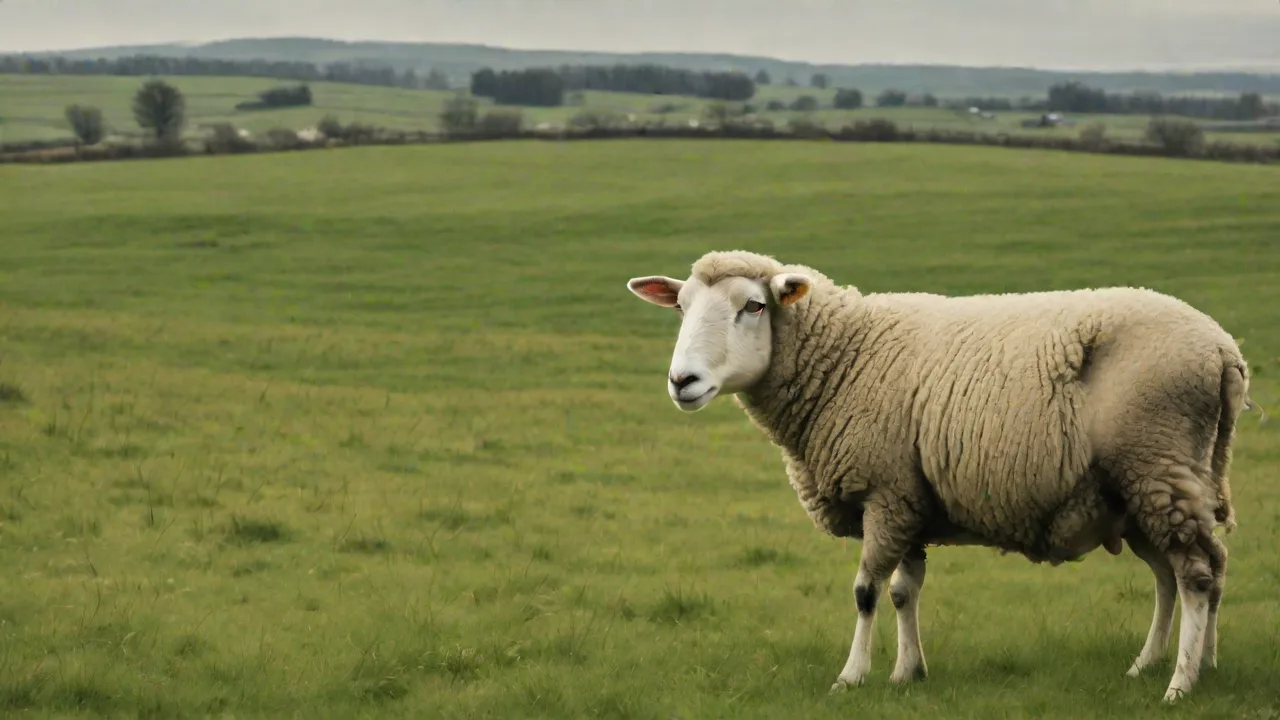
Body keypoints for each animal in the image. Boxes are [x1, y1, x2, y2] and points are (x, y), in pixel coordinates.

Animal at [626, 249, 1251, 704]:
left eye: (753, 306)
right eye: (680, 307)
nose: (682, 381)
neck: (846, 357)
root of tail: (1223, 349)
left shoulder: (884, 491)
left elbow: (865, 592)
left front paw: (851, 677)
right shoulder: (908, 495)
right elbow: (905, 590)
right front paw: (908, 673)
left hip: (1157, 463)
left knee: (1195, 573)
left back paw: (1179, 684)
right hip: (1143, 487)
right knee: (1188, 571)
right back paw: (1180, 664)